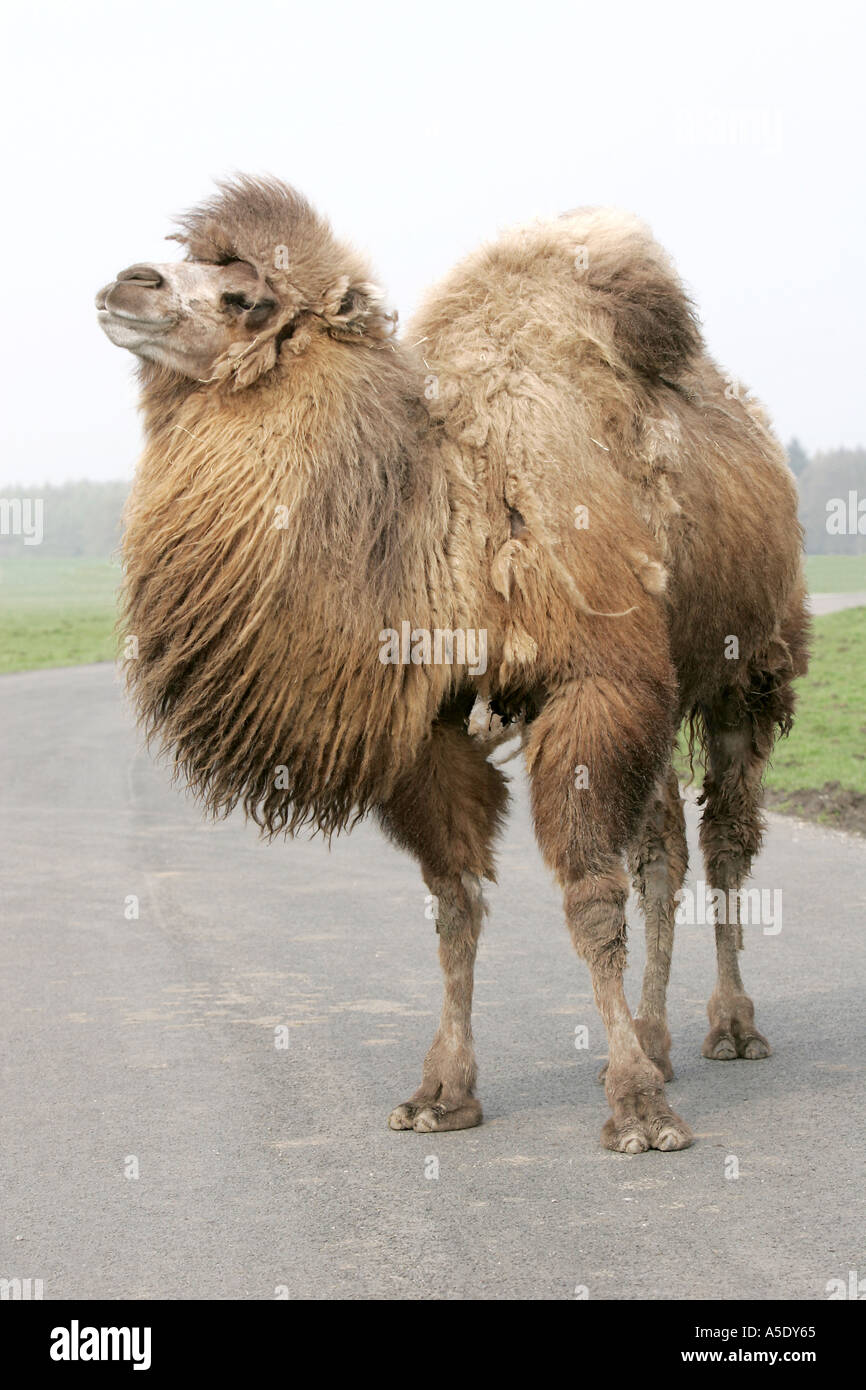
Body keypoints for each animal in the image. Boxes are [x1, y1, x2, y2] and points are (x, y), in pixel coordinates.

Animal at [96, 178, 809, 1153]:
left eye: (248, 297)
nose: (127, 285)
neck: (454, 512)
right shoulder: (432, 718)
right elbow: (454, 904)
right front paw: (442, 1092)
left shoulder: (595, 683)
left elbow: (589, 896)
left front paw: (636, 1108)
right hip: (663, 690)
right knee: (662, 844)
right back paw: (659, 1036)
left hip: (751, 667)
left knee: (728, 838)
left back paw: (730, 1027)